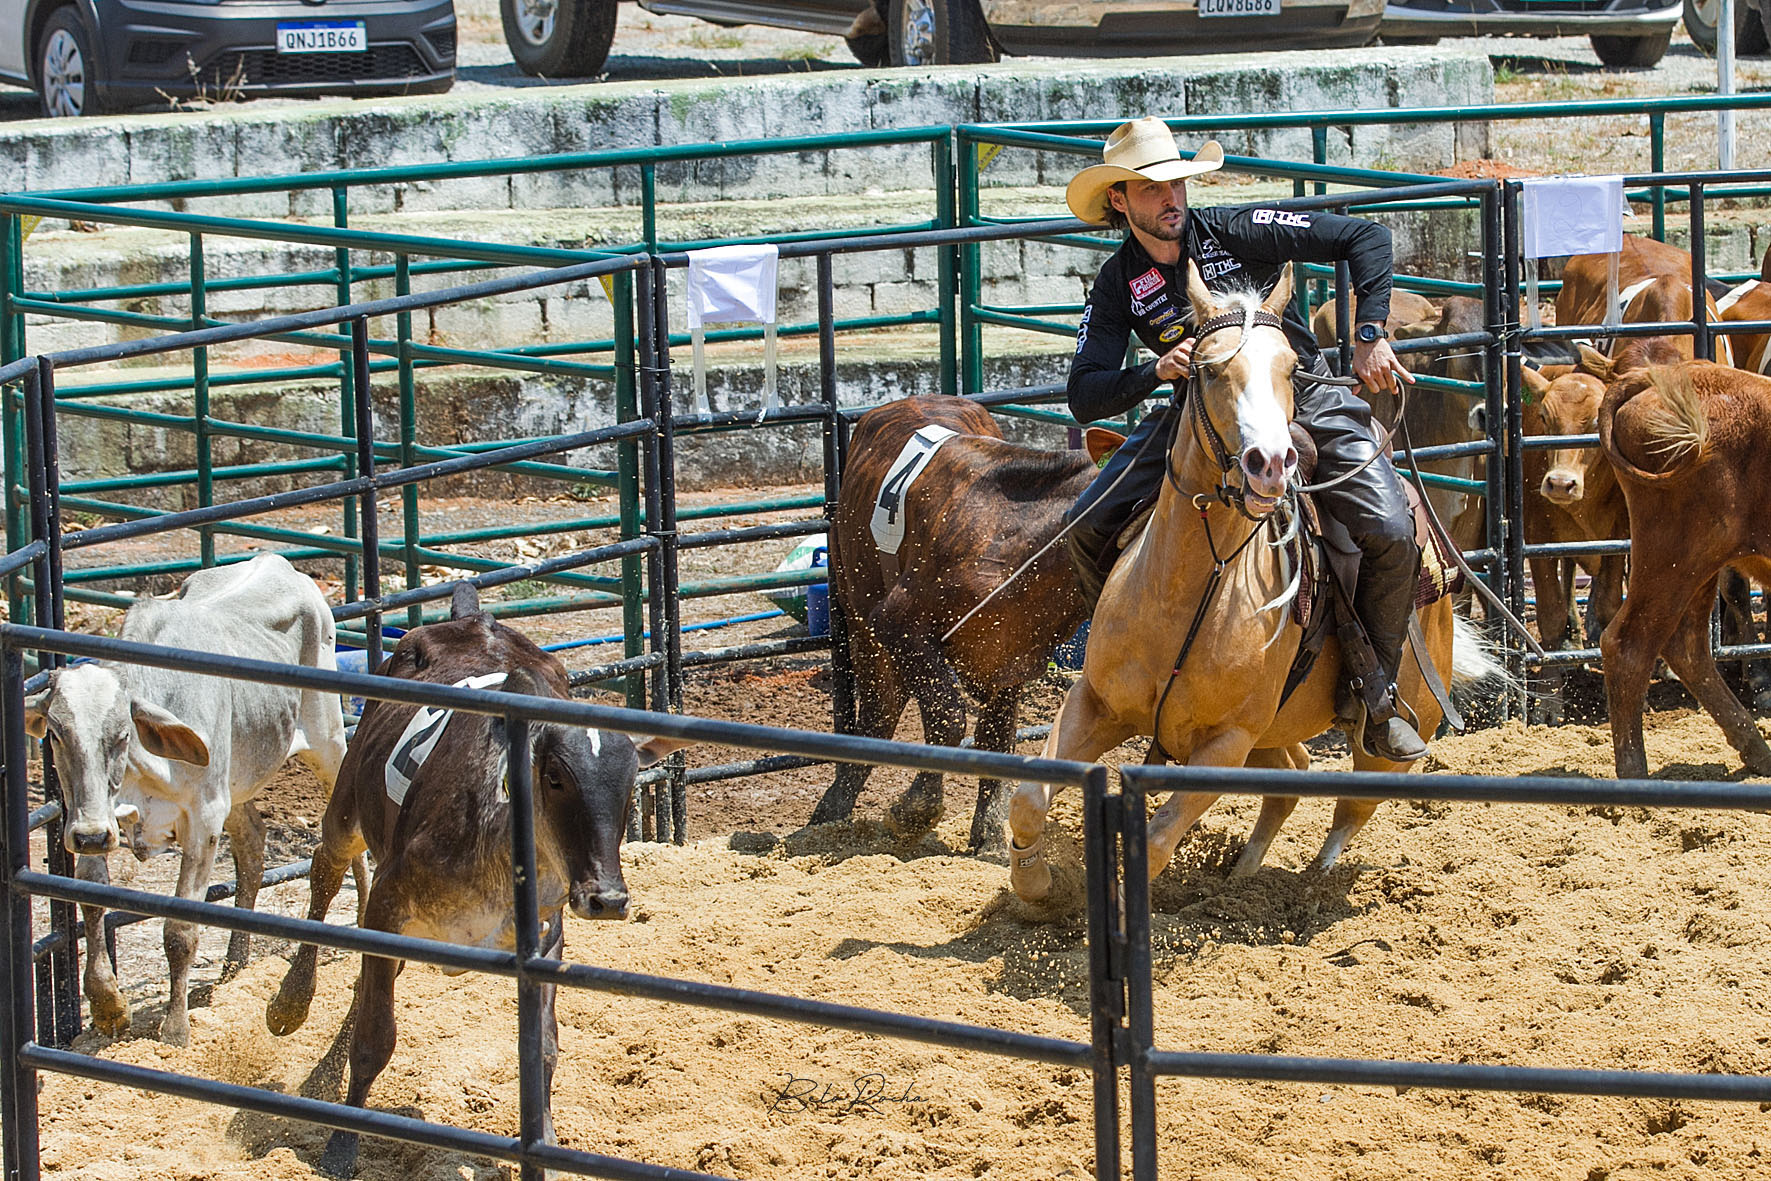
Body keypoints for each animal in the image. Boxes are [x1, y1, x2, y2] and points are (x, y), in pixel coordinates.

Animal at [1006, 262, 1502, 902]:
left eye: (1291, 367)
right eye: (1209, 368)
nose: (1270, 463)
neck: (1187, 591)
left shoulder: (1228, 742)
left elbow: (1157, 839)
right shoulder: (1094, 702)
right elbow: (1027, 796)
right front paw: (1036, 886)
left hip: (1396, 729)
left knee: (1354, 804)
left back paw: (1311, 886)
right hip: (1277, 729)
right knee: (1294, 777)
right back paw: (1242, 876)